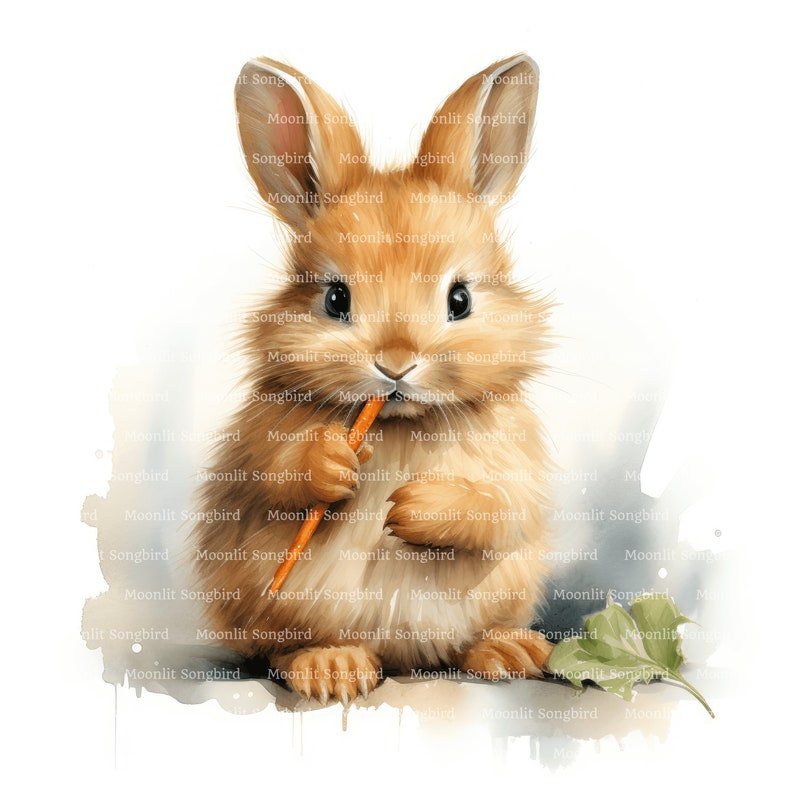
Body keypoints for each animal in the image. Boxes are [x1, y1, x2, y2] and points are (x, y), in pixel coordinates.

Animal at [193, 53, 555, 704]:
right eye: (335, 299)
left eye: (460, 299)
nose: (396, 362)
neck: (398, 425)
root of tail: (405, 660)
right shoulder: (261, 440)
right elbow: (279, 473)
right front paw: (335, 464)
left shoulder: (516, 464)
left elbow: (500, 505)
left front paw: (414, 506)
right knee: (280, 649)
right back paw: (331, 667)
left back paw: (510, 651)